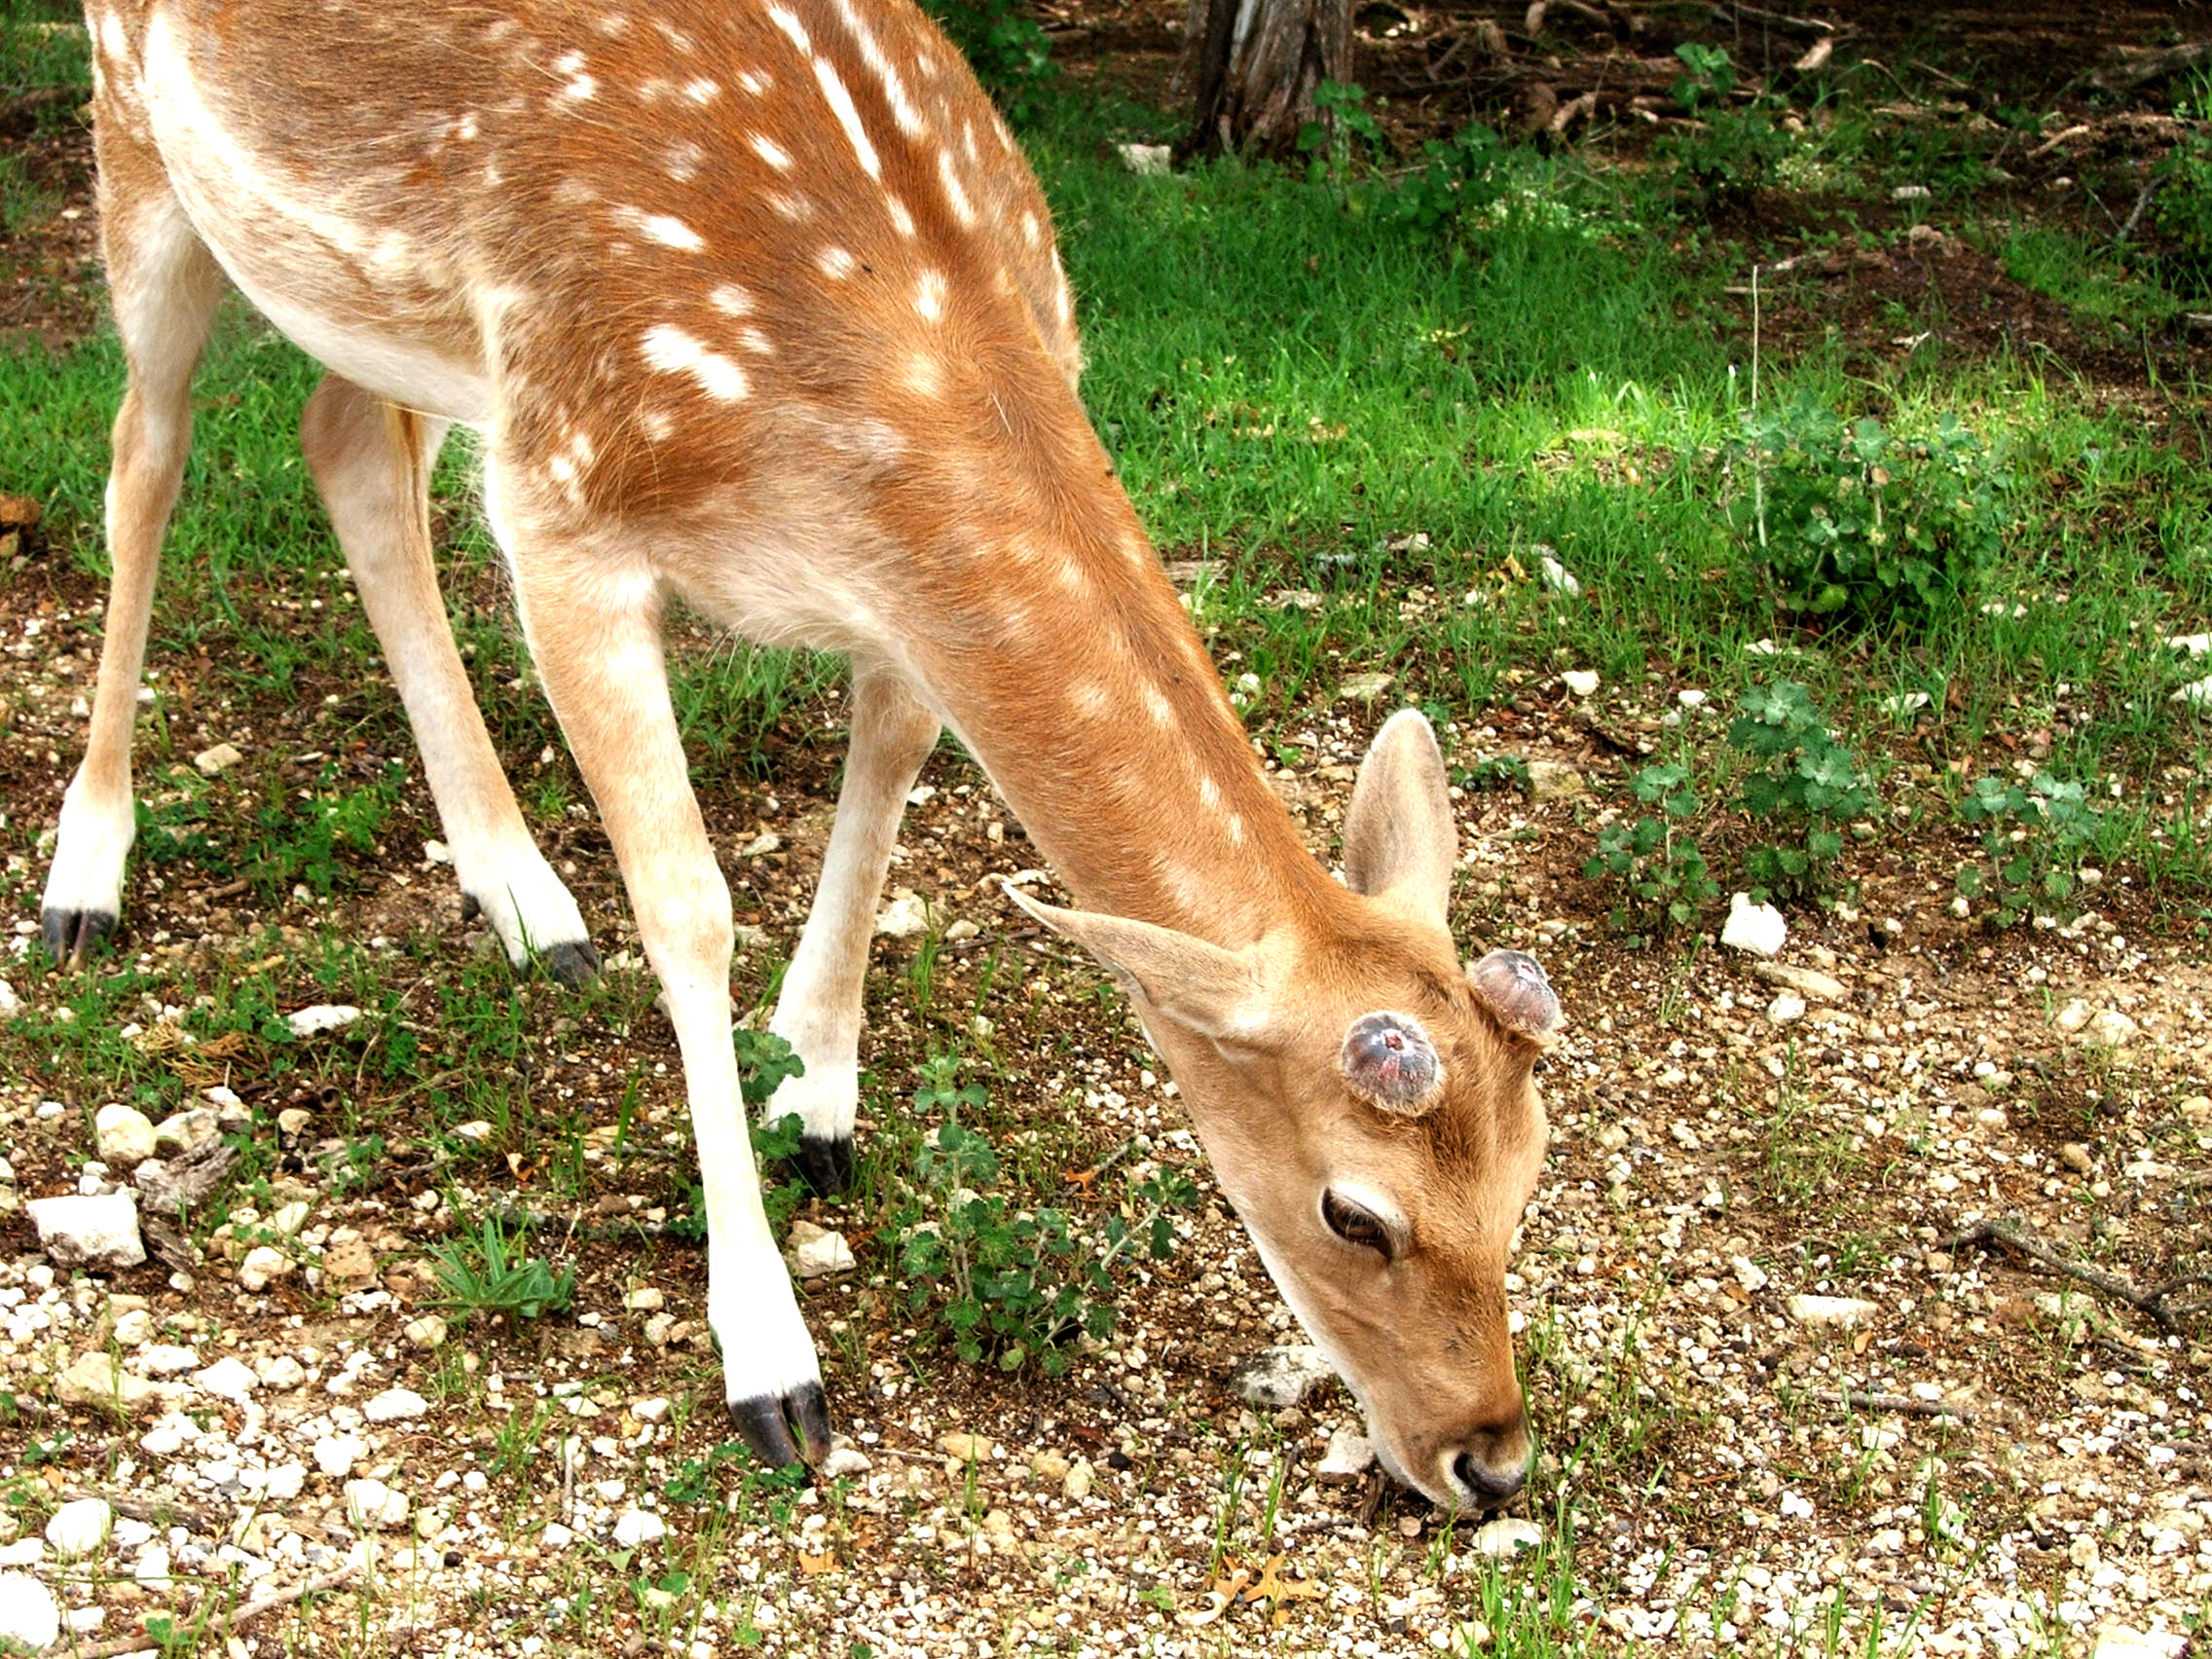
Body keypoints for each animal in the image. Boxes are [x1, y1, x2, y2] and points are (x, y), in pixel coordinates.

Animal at [47, 0, 1563, 1508]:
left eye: (1532, 1169)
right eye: (1354, 1213)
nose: (1488, 1457)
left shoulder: (892, 596)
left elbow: (890, 757)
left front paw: (818, 1090)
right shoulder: (562, 501)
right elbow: (689, 907)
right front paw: (772, 1365)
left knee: (350, 443)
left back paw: (524, 898)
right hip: (134, 142)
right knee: (143, 455)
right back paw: (89, 876)